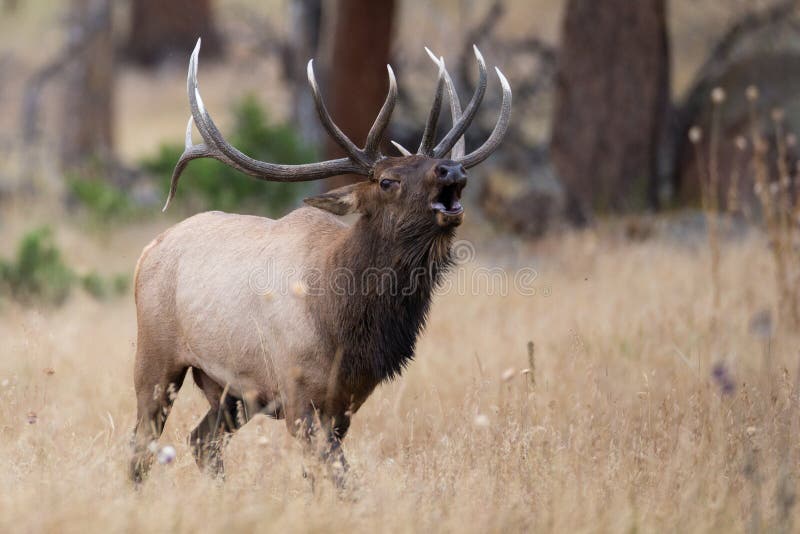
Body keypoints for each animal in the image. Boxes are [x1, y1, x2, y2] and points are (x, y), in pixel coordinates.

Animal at [130, 38, 511, 486]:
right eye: (387, 180)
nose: (451, 168)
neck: (343, 322)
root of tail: (148, 250)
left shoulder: (345, 402)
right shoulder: (297, 395)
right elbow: (341, 477)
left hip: (232, 392)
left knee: (200, 440)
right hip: (156, 357)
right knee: (142, 444)